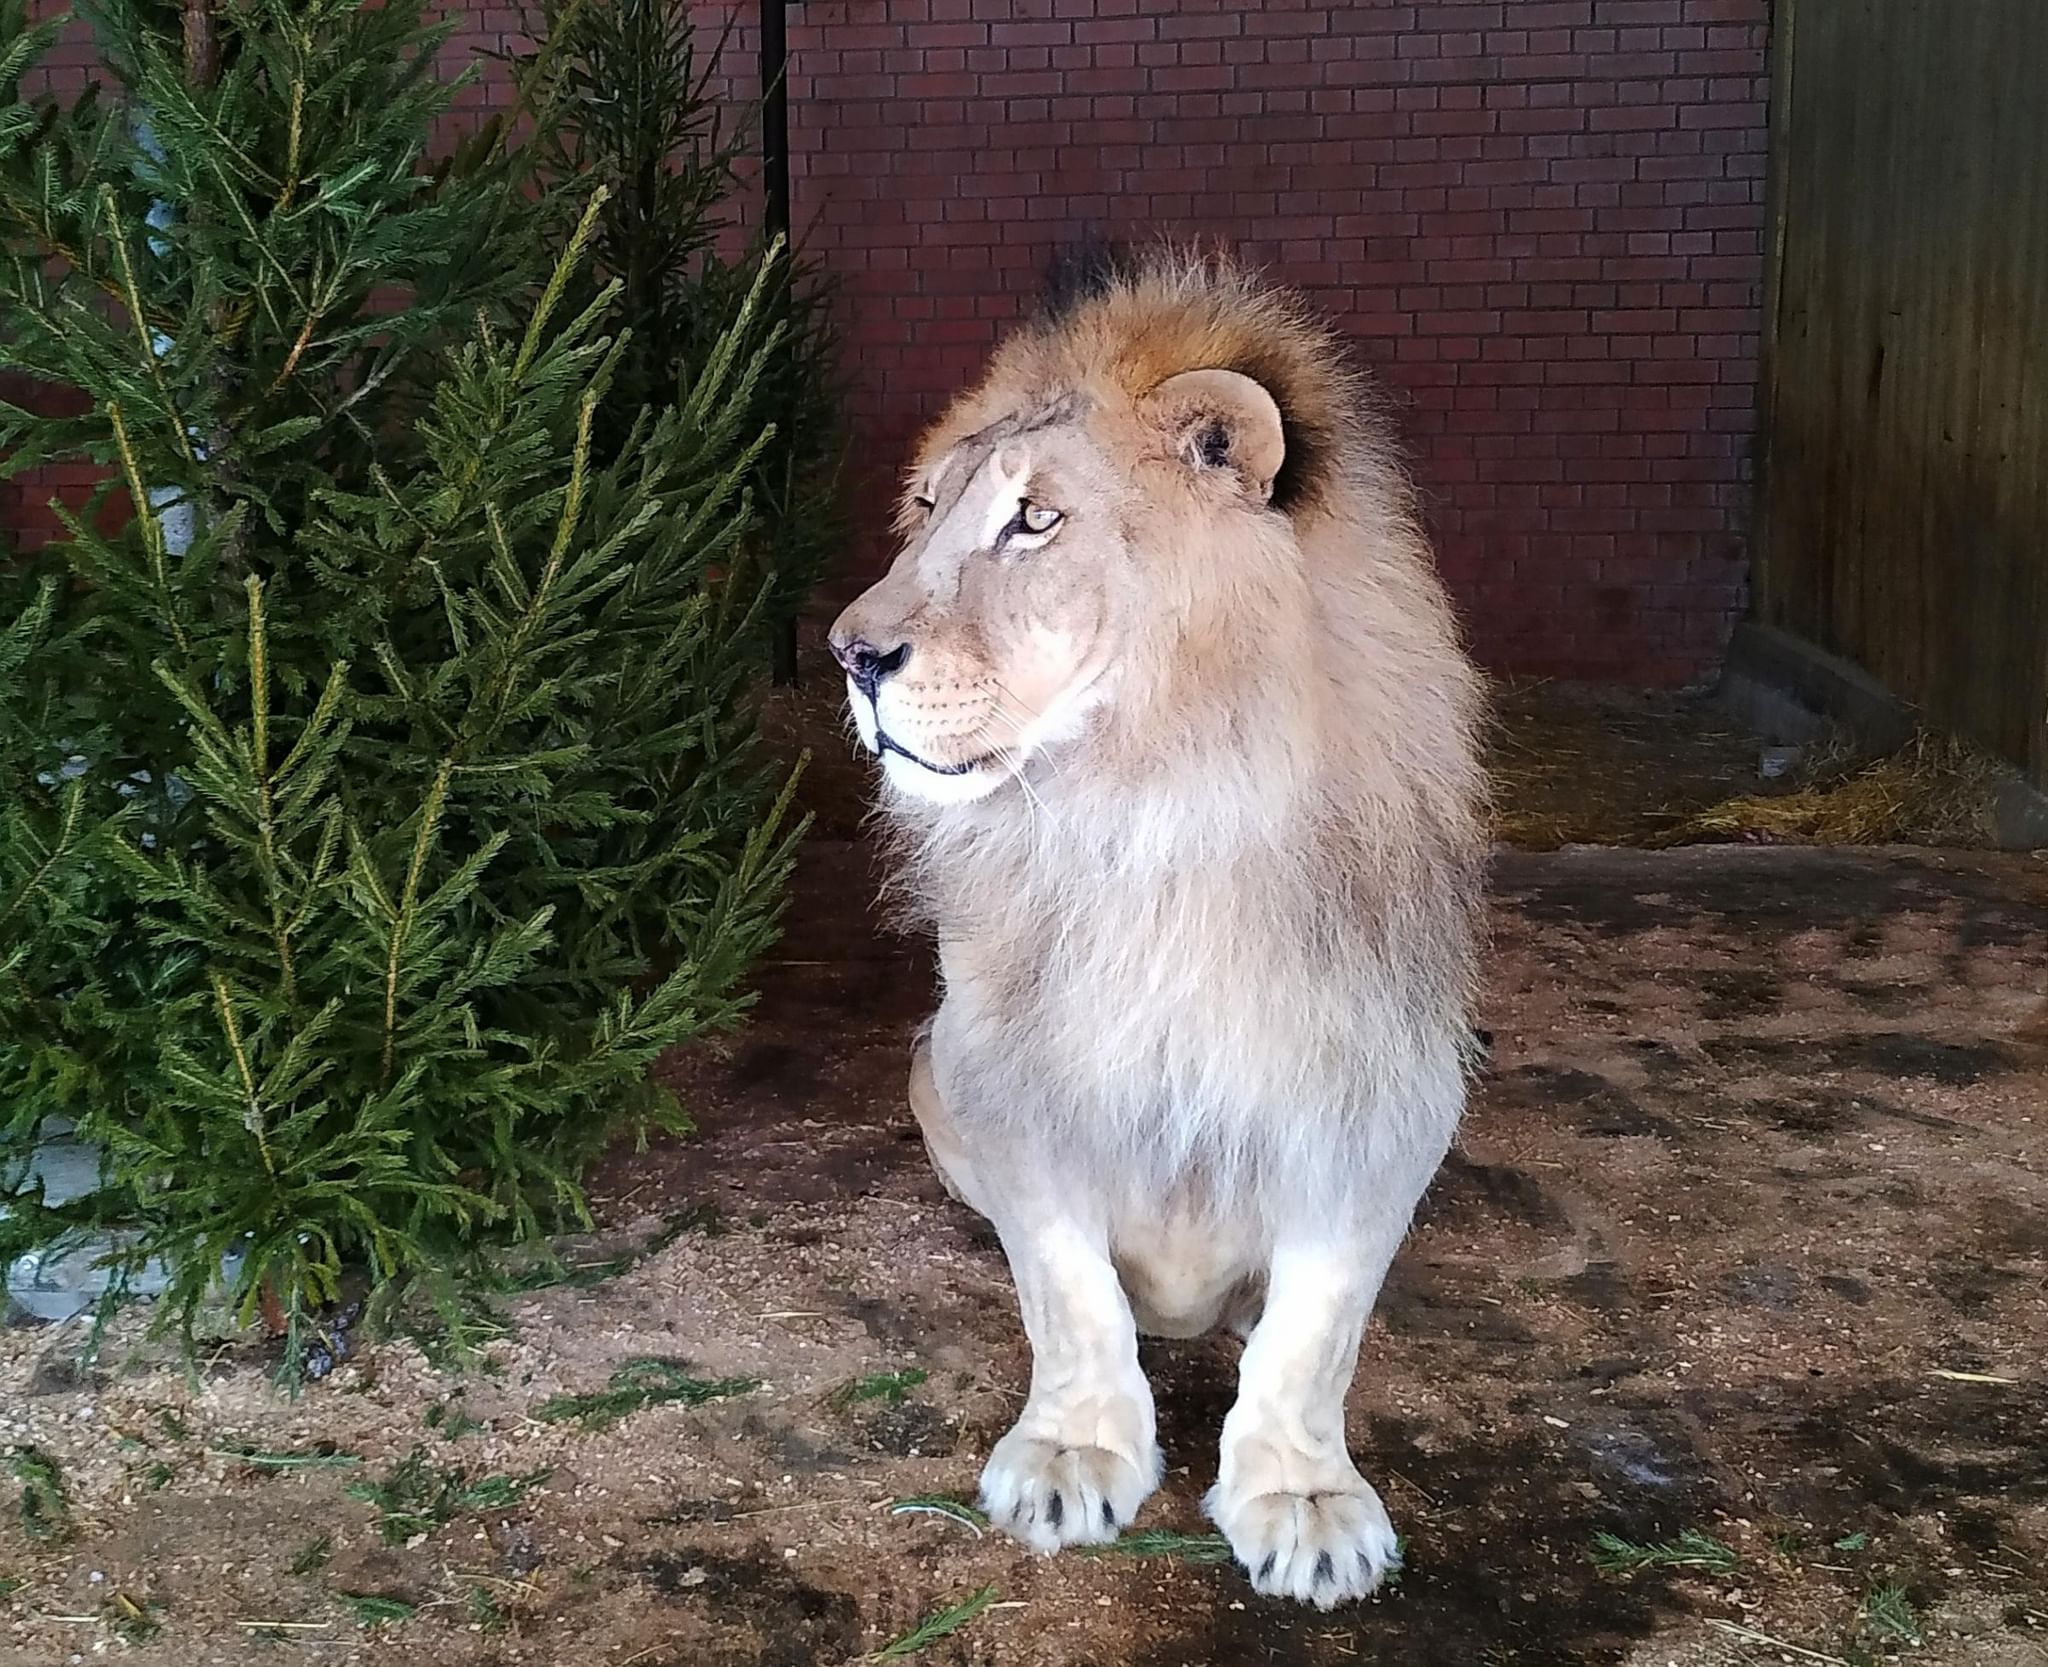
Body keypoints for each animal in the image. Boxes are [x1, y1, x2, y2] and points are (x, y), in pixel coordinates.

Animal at [831, 244, 1490, 1605]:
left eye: (1032, 520)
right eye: (926, 509)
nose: (848, 655)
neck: (1149, 815)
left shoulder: (1379, 1085)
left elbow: (1314, 1325)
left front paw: (1301, 1497)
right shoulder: (1002, 1068)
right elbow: (1065, 1283)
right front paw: (1072, 1455)